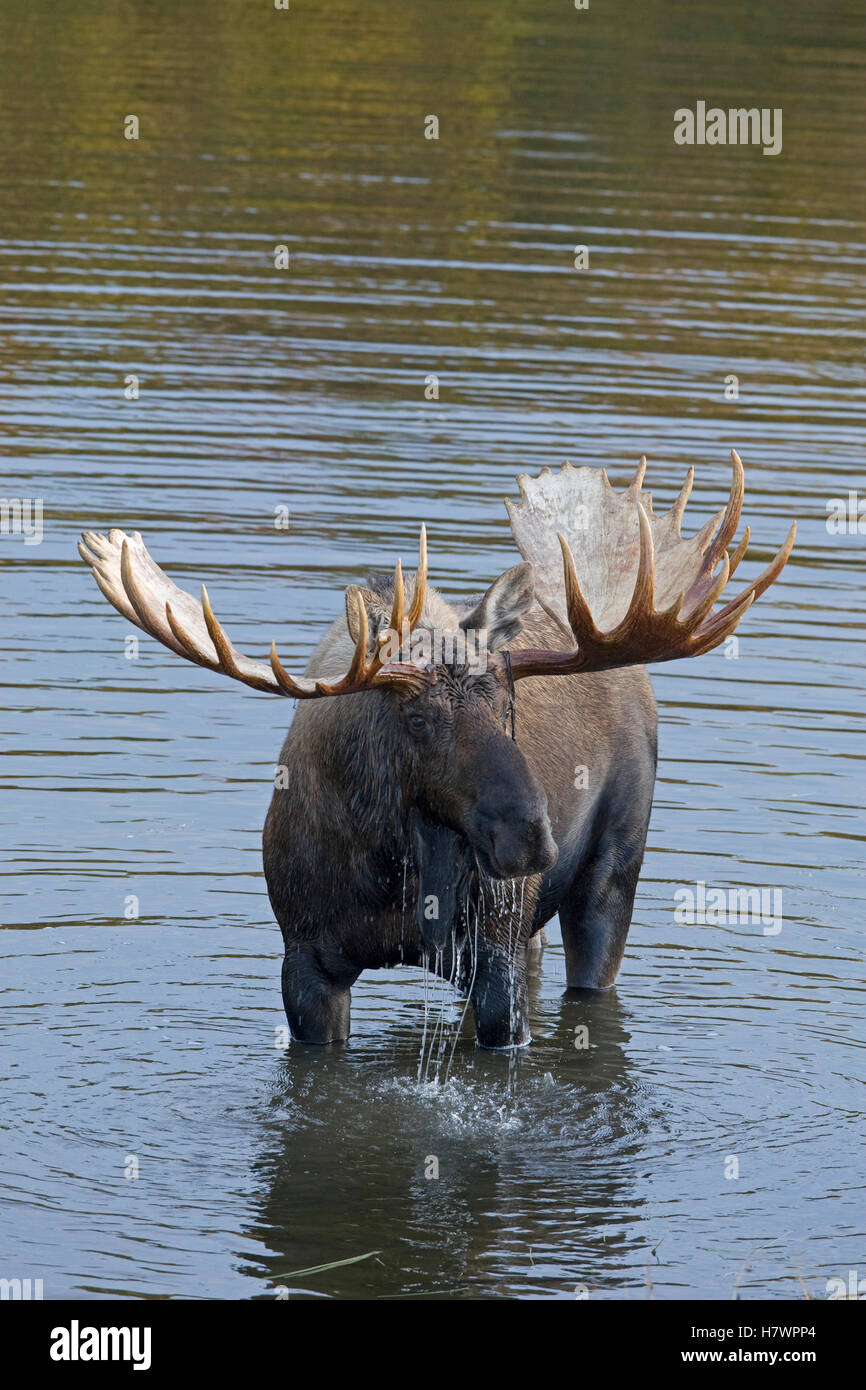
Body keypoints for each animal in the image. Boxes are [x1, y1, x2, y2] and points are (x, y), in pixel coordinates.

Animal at [79, 452, 795, 1049]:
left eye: (508, 703)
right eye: (418, 717)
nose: (531, 838)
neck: (391, 867)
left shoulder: (493, 959)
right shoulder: (304, 961)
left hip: (614, 863)